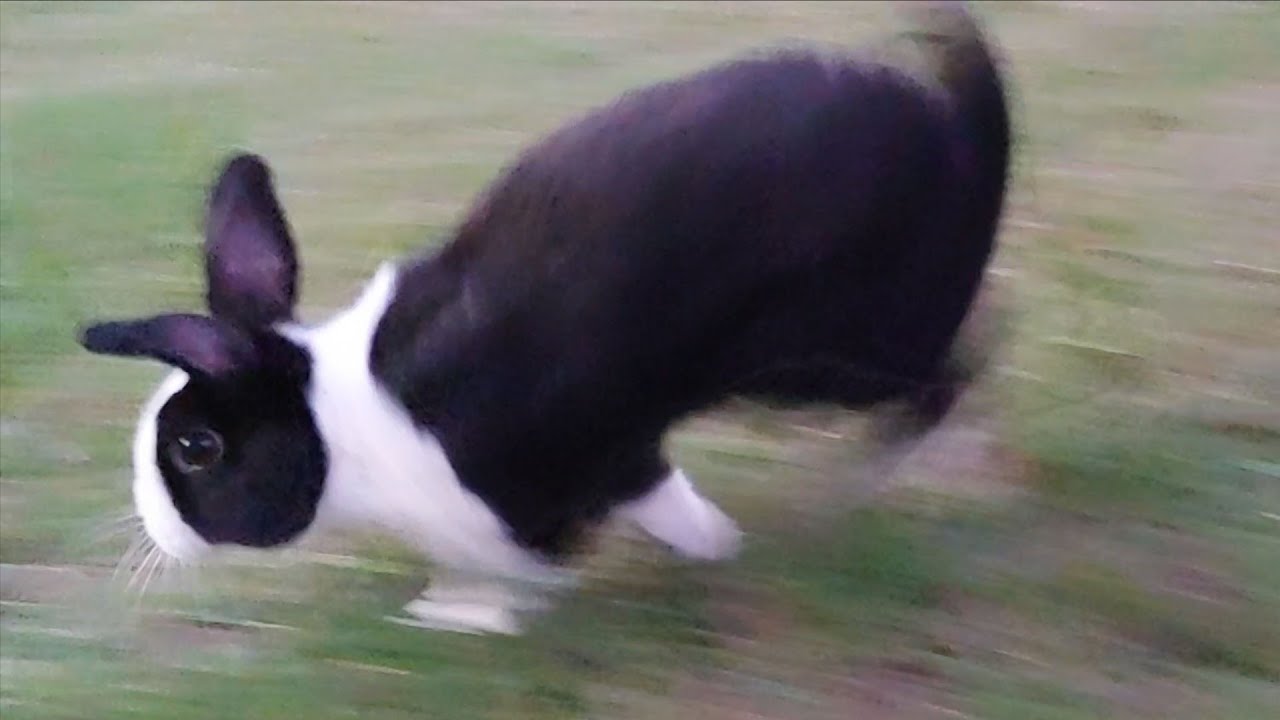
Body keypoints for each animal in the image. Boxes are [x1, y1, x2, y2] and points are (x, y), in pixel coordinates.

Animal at [78, 3, 1010, 635]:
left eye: (198, 450)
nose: (152, 525)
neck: (339, 431)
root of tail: (958, 139)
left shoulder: (585, 461)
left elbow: (592, 540)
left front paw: (464, 613)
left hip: (830, 355)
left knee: (949, 374)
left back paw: (867, 482)